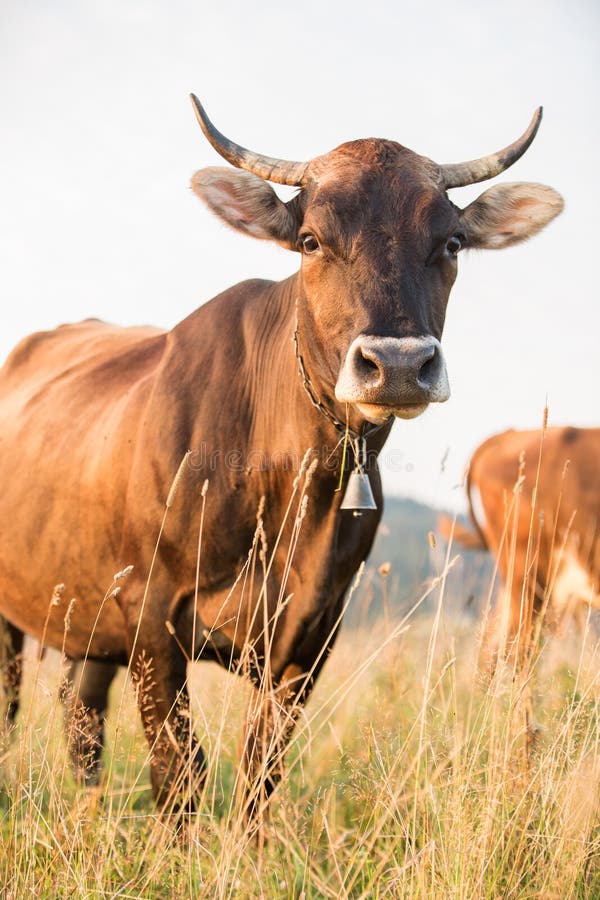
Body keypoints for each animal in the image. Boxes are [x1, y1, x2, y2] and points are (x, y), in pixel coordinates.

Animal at [0, 96, 562, 820]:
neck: (287, 490)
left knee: (81, 714)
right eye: (311, 240)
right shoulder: (152, 619)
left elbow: (258, 775)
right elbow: (179, 774)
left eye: (451, 242)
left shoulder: (310, 637)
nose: (399, 364)